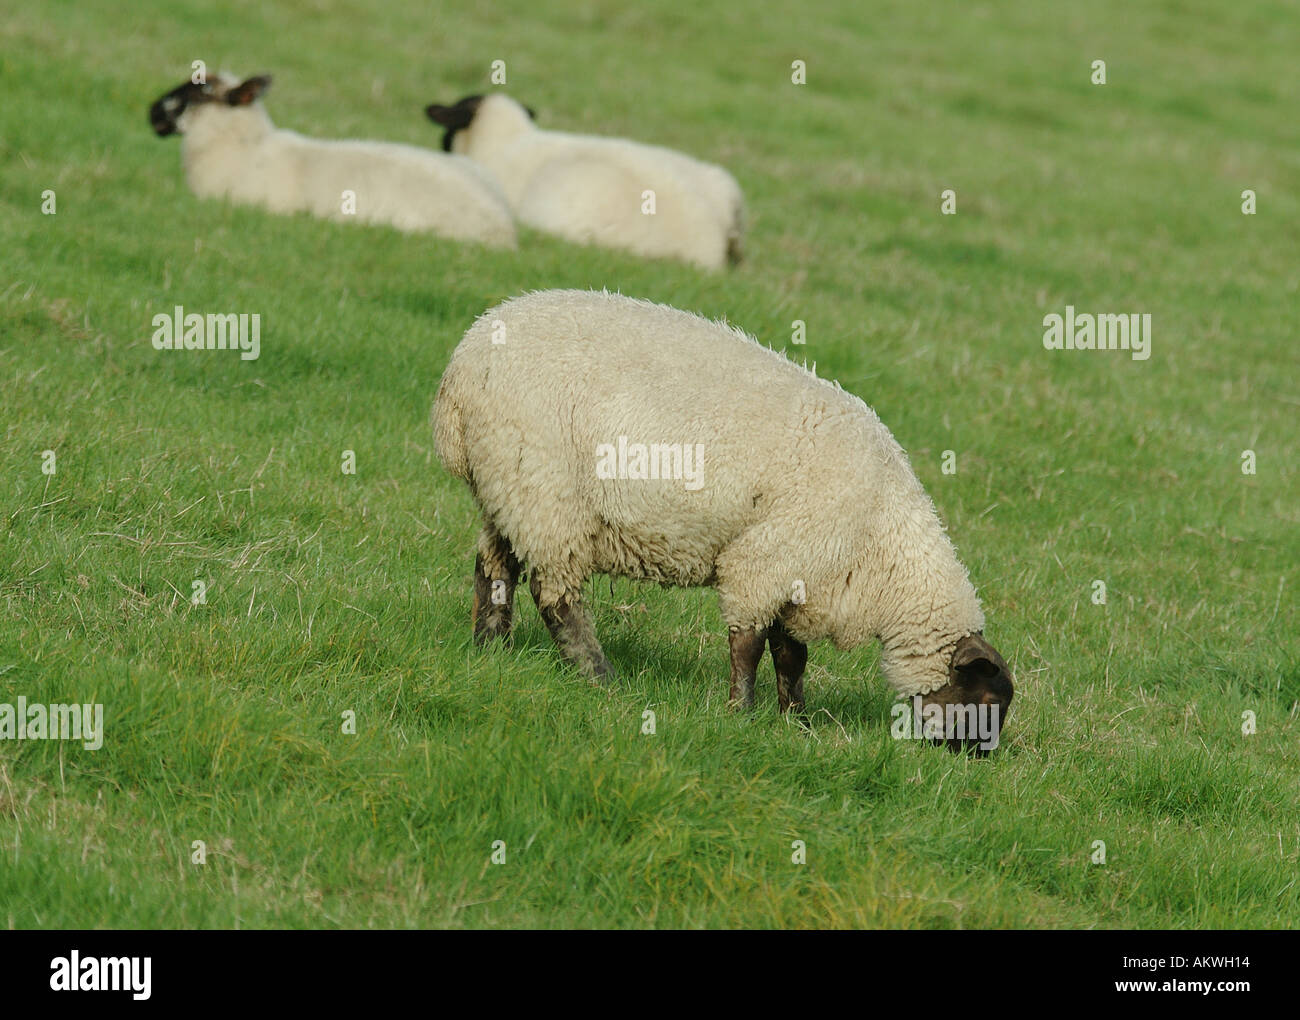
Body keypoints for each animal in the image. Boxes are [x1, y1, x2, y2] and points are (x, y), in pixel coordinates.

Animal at [432, 290, 1014, 752]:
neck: (884, 544)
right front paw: (742, 714)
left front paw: (796, 721)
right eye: (987, 700)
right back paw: (600, 678)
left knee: (494, 567)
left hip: (508, 489)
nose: (977, 761)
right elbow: (749, 645)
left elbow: (791, 654)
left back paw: (491, 648)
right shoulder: (765, 559)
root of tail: (460, 370)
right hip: (546, 492)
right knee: (555, 596)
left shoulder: (797, 575)